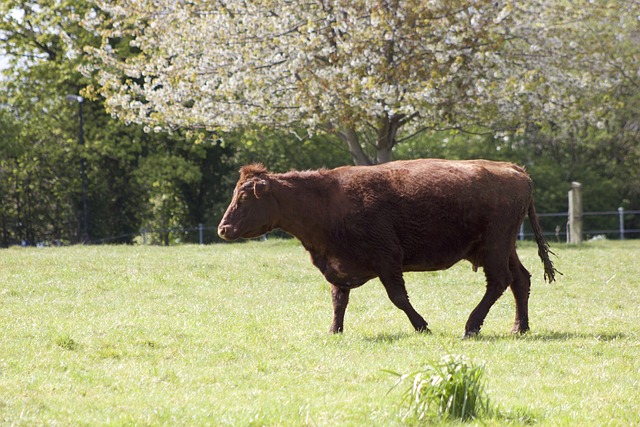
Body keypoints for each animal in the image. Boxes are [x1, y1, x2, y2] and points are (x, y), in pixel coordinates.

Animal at [217, 159, 558, 337]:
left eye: (244, 197)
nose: (223, 228)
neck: (325, 201)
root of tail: (513, 169)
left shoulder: (387, 261)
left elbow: (399, 298)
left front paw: (422, 326)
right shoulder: (339, 266)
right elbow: (339, 300)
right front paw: (334, 330)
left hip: (494, 248)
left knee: (499, 282)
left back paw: (471, 326)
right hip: (503, 248)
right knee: (520, 280)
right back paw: (520, 327)